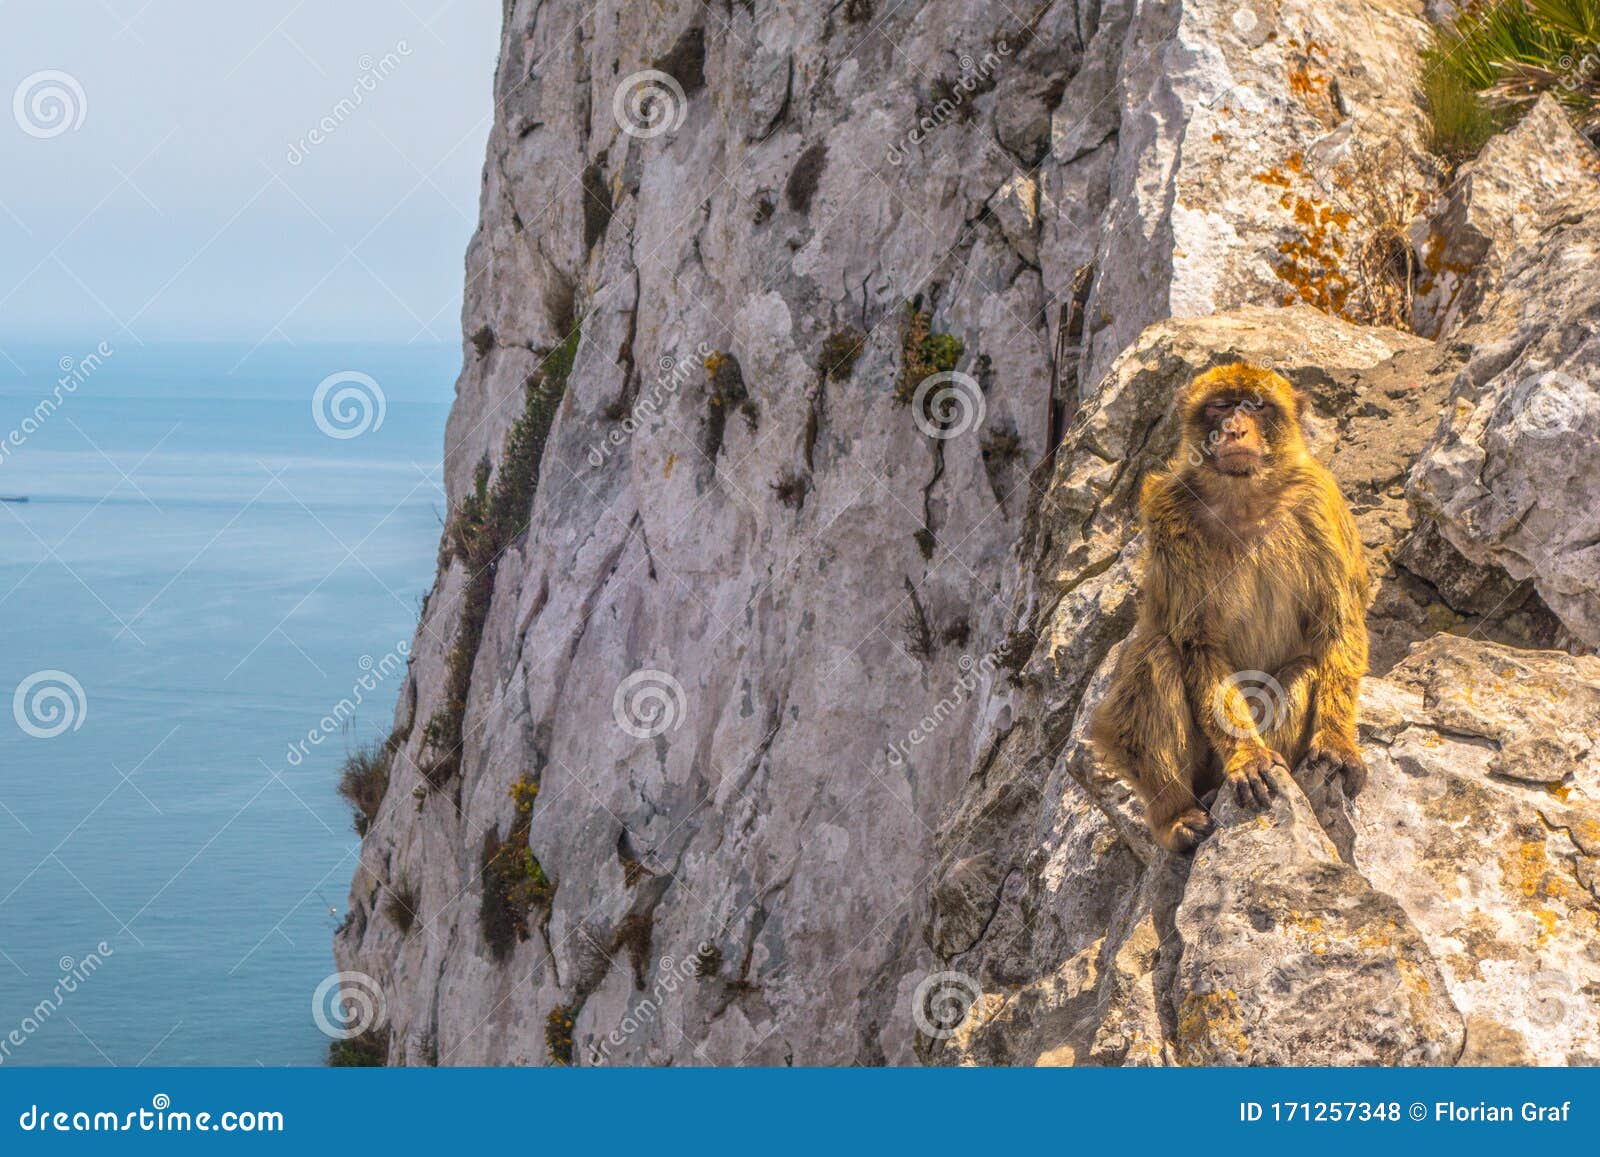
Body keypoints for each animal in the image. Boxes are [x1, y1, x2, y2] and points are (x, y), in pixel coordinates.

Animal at [1089, 363, 1370, 853]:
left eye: (1256, 407)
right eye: (1221, 405)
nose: (1236, 429)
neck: (1245, 499)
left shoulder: (1318, 504)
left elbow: (1338, 623)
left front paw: (1336, 739)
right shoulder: (1171, 513)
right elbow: (1198, 643)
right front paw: (1247, 755)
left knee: (1302, 669)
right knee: (1156, 655)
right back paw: (1178, 813)